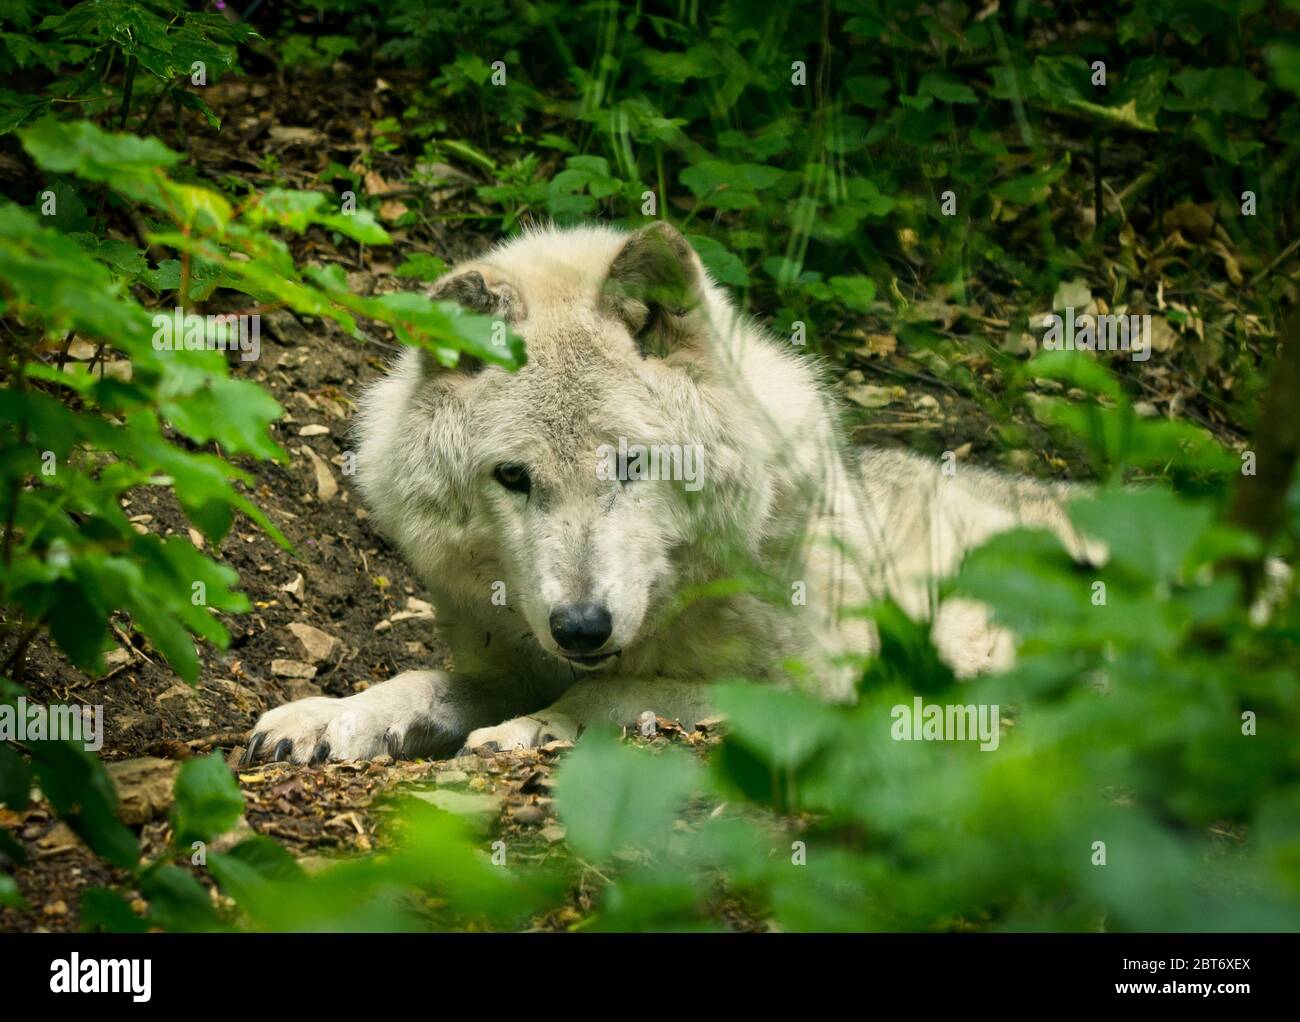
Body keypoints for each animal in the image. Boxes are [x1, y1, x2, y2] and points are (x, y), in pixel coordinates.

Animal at [243, 222, 1096, 765]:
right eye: (512, 477)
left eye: (629, 464)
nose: (580, 627)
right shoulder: (507, 665)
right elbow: (416, 681)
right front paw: (329, 717)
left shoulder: (810, 686)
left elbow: (615, 697)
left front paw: (538, 728)